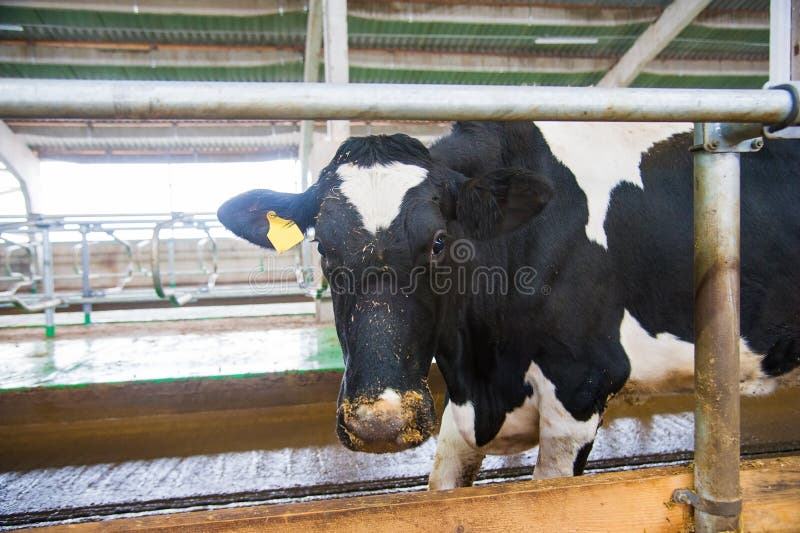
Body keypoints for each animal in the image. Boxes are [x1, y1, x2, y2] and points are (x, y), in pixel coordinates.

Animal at [217, 121, 800, 489]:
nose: (380, 424)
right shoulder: (463, 412)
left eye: (440, 241)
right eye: (322, 246)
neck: (483, 371)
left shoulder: (581, 385)